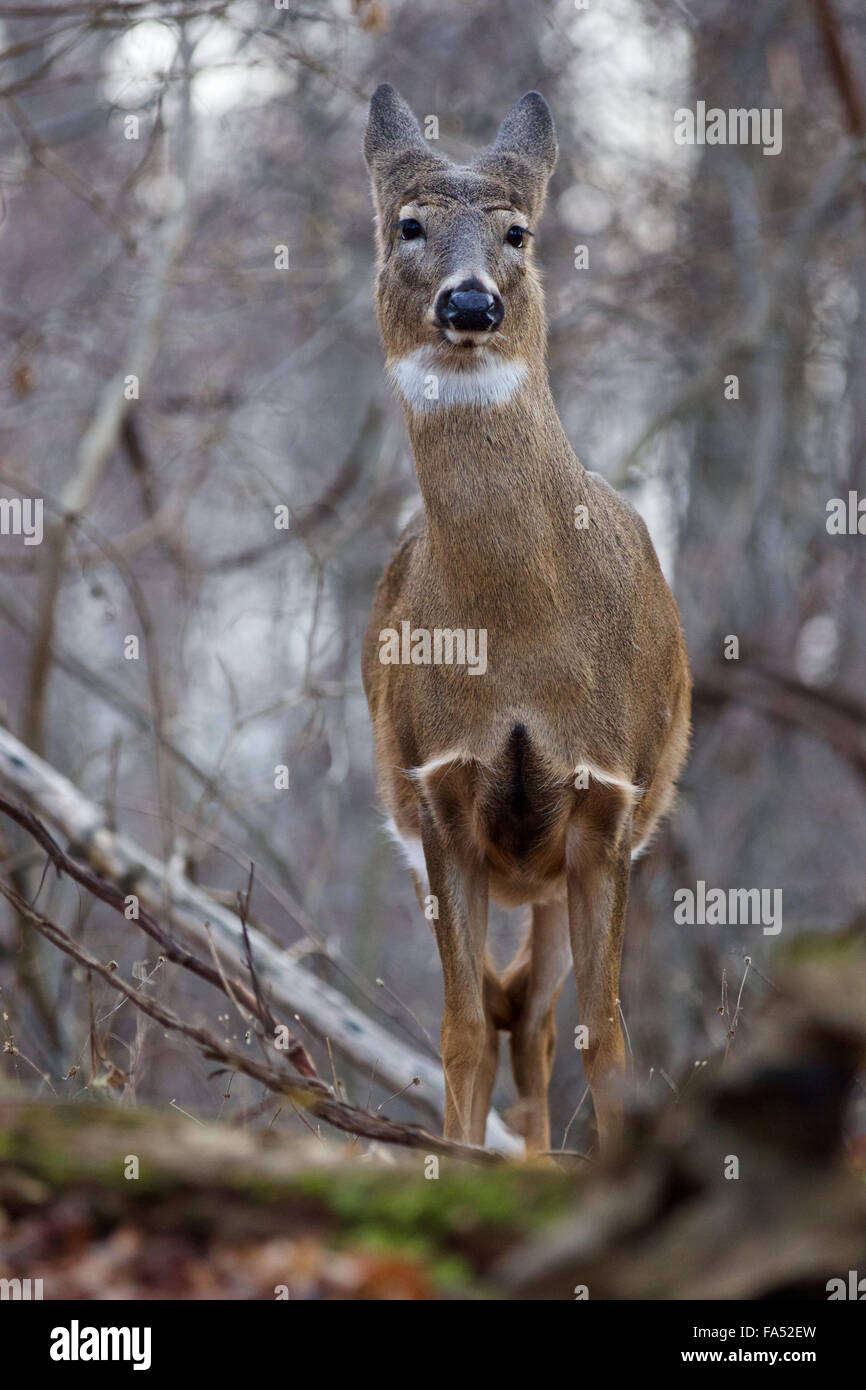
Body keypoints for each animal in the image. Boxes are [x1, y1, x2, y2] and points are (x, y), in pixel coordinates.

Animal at [361, 84, 691, 1154]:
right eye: (408, 224)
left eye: (519, 231)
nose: (471, 304)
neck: (513, 644)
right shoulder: (437, 795)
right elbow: (460, 1031)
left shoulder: (609, 798)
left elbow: (611, 1037)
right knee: (511, 1018)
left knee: (542, 1024)